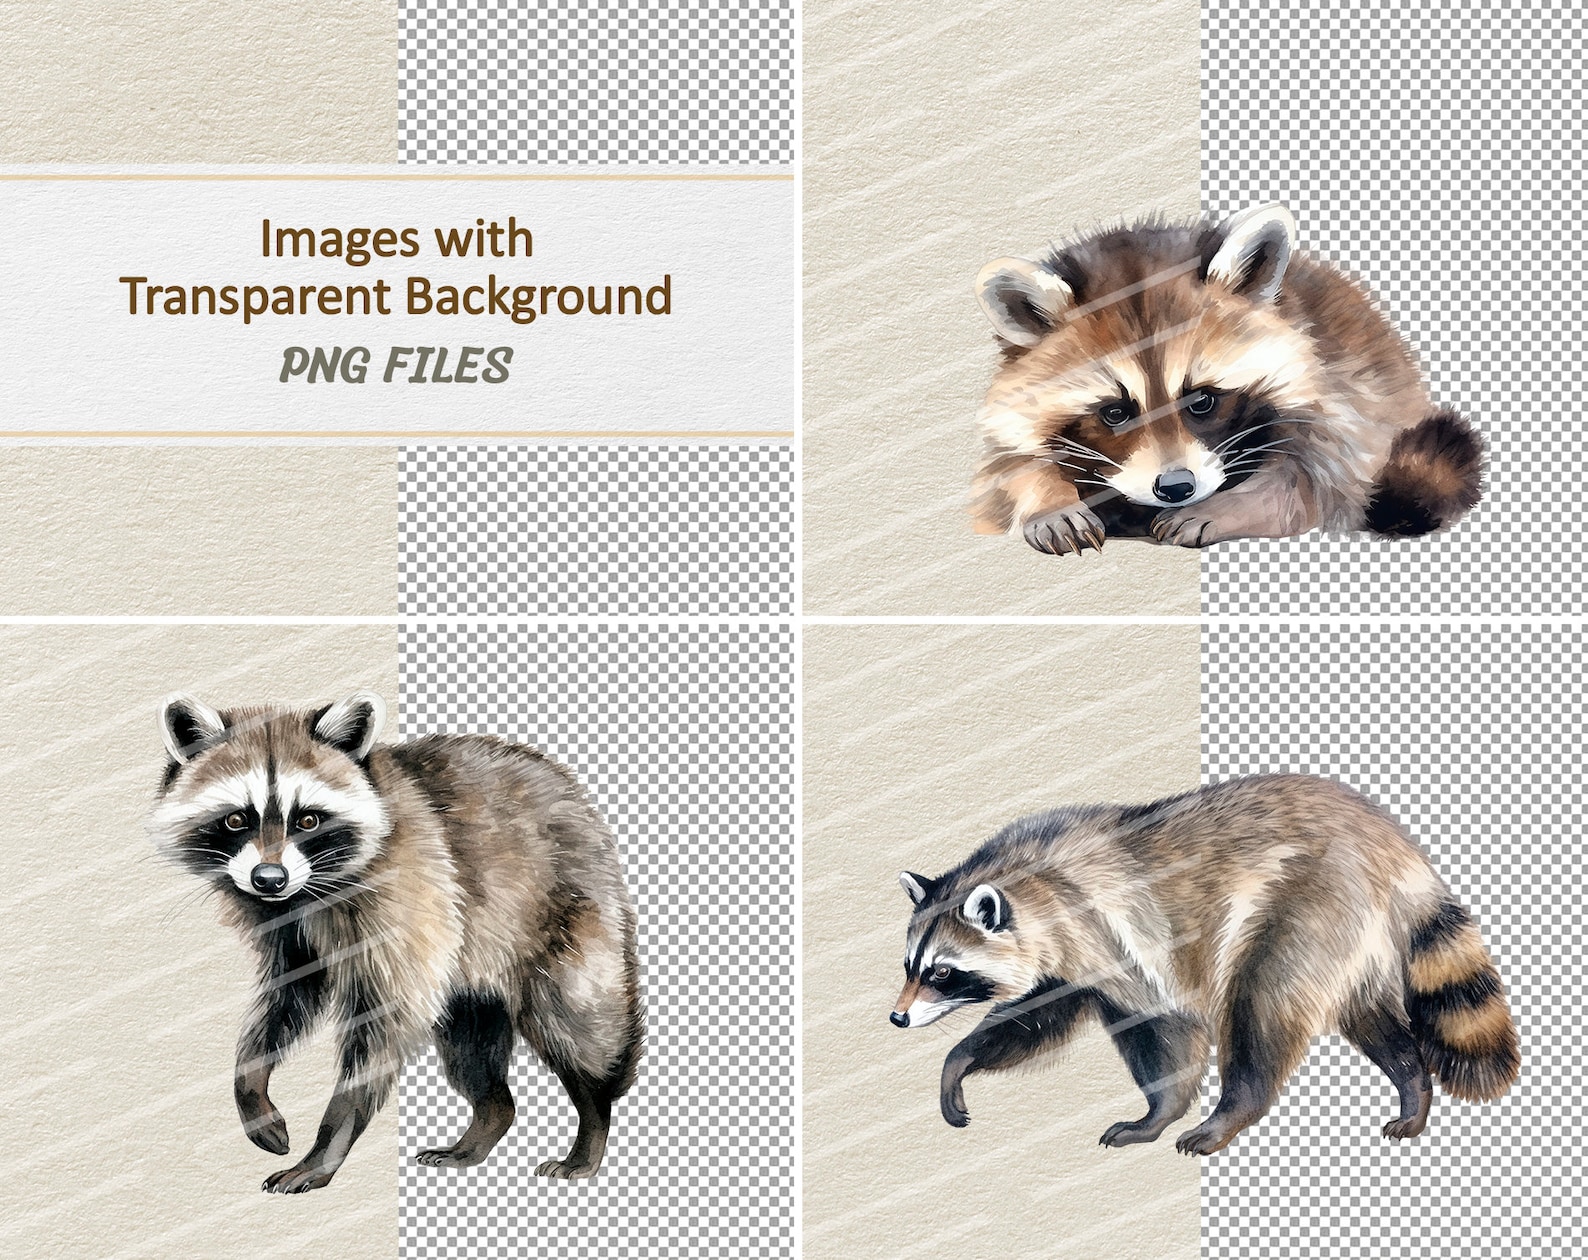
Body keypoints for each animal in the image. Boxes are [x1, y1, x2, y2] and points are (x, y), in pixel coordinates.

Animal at [148, 692, 643, 1193]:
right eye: (235, 818)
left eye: (307, 819)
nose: (269, 878)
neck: (308, 892)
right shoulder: (286, 929)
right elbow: (286, 999)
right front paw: (251, 1088)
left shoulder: (409, 894)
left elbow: (383, 1023)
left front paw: (328, 1145)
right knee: (471, 1055)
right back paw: (488, 1118)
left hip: (561, 917)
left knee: (572, 1023)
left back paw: (592, 1120)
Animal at [891, 776, 1517, 1154]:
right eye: (909, 965)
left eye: (941, 972)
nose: (897, 1018)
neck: (1030, 880)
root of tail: (1393, 845)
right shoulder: (1074, 963)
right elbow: (1040, 1015)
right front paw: (960, 1059)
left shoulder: (1108, 934)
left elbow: (1168, 1024)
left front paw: (1165, 1112)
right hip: (1356, 942)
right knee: (1373, 1021)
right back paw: (1413, 1084)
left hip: (1309, 907)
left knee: (1262, 1011)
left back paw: (1233, 1111)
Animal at [969, 205, 1485, 554]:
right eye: (1115, 412)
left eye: (1202, 400)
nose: (1176, 488)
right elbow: (1008, 469)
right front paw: (1048, 498)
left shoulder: (1344, 398)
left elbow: (1306, 485)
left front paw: (1232, 507)